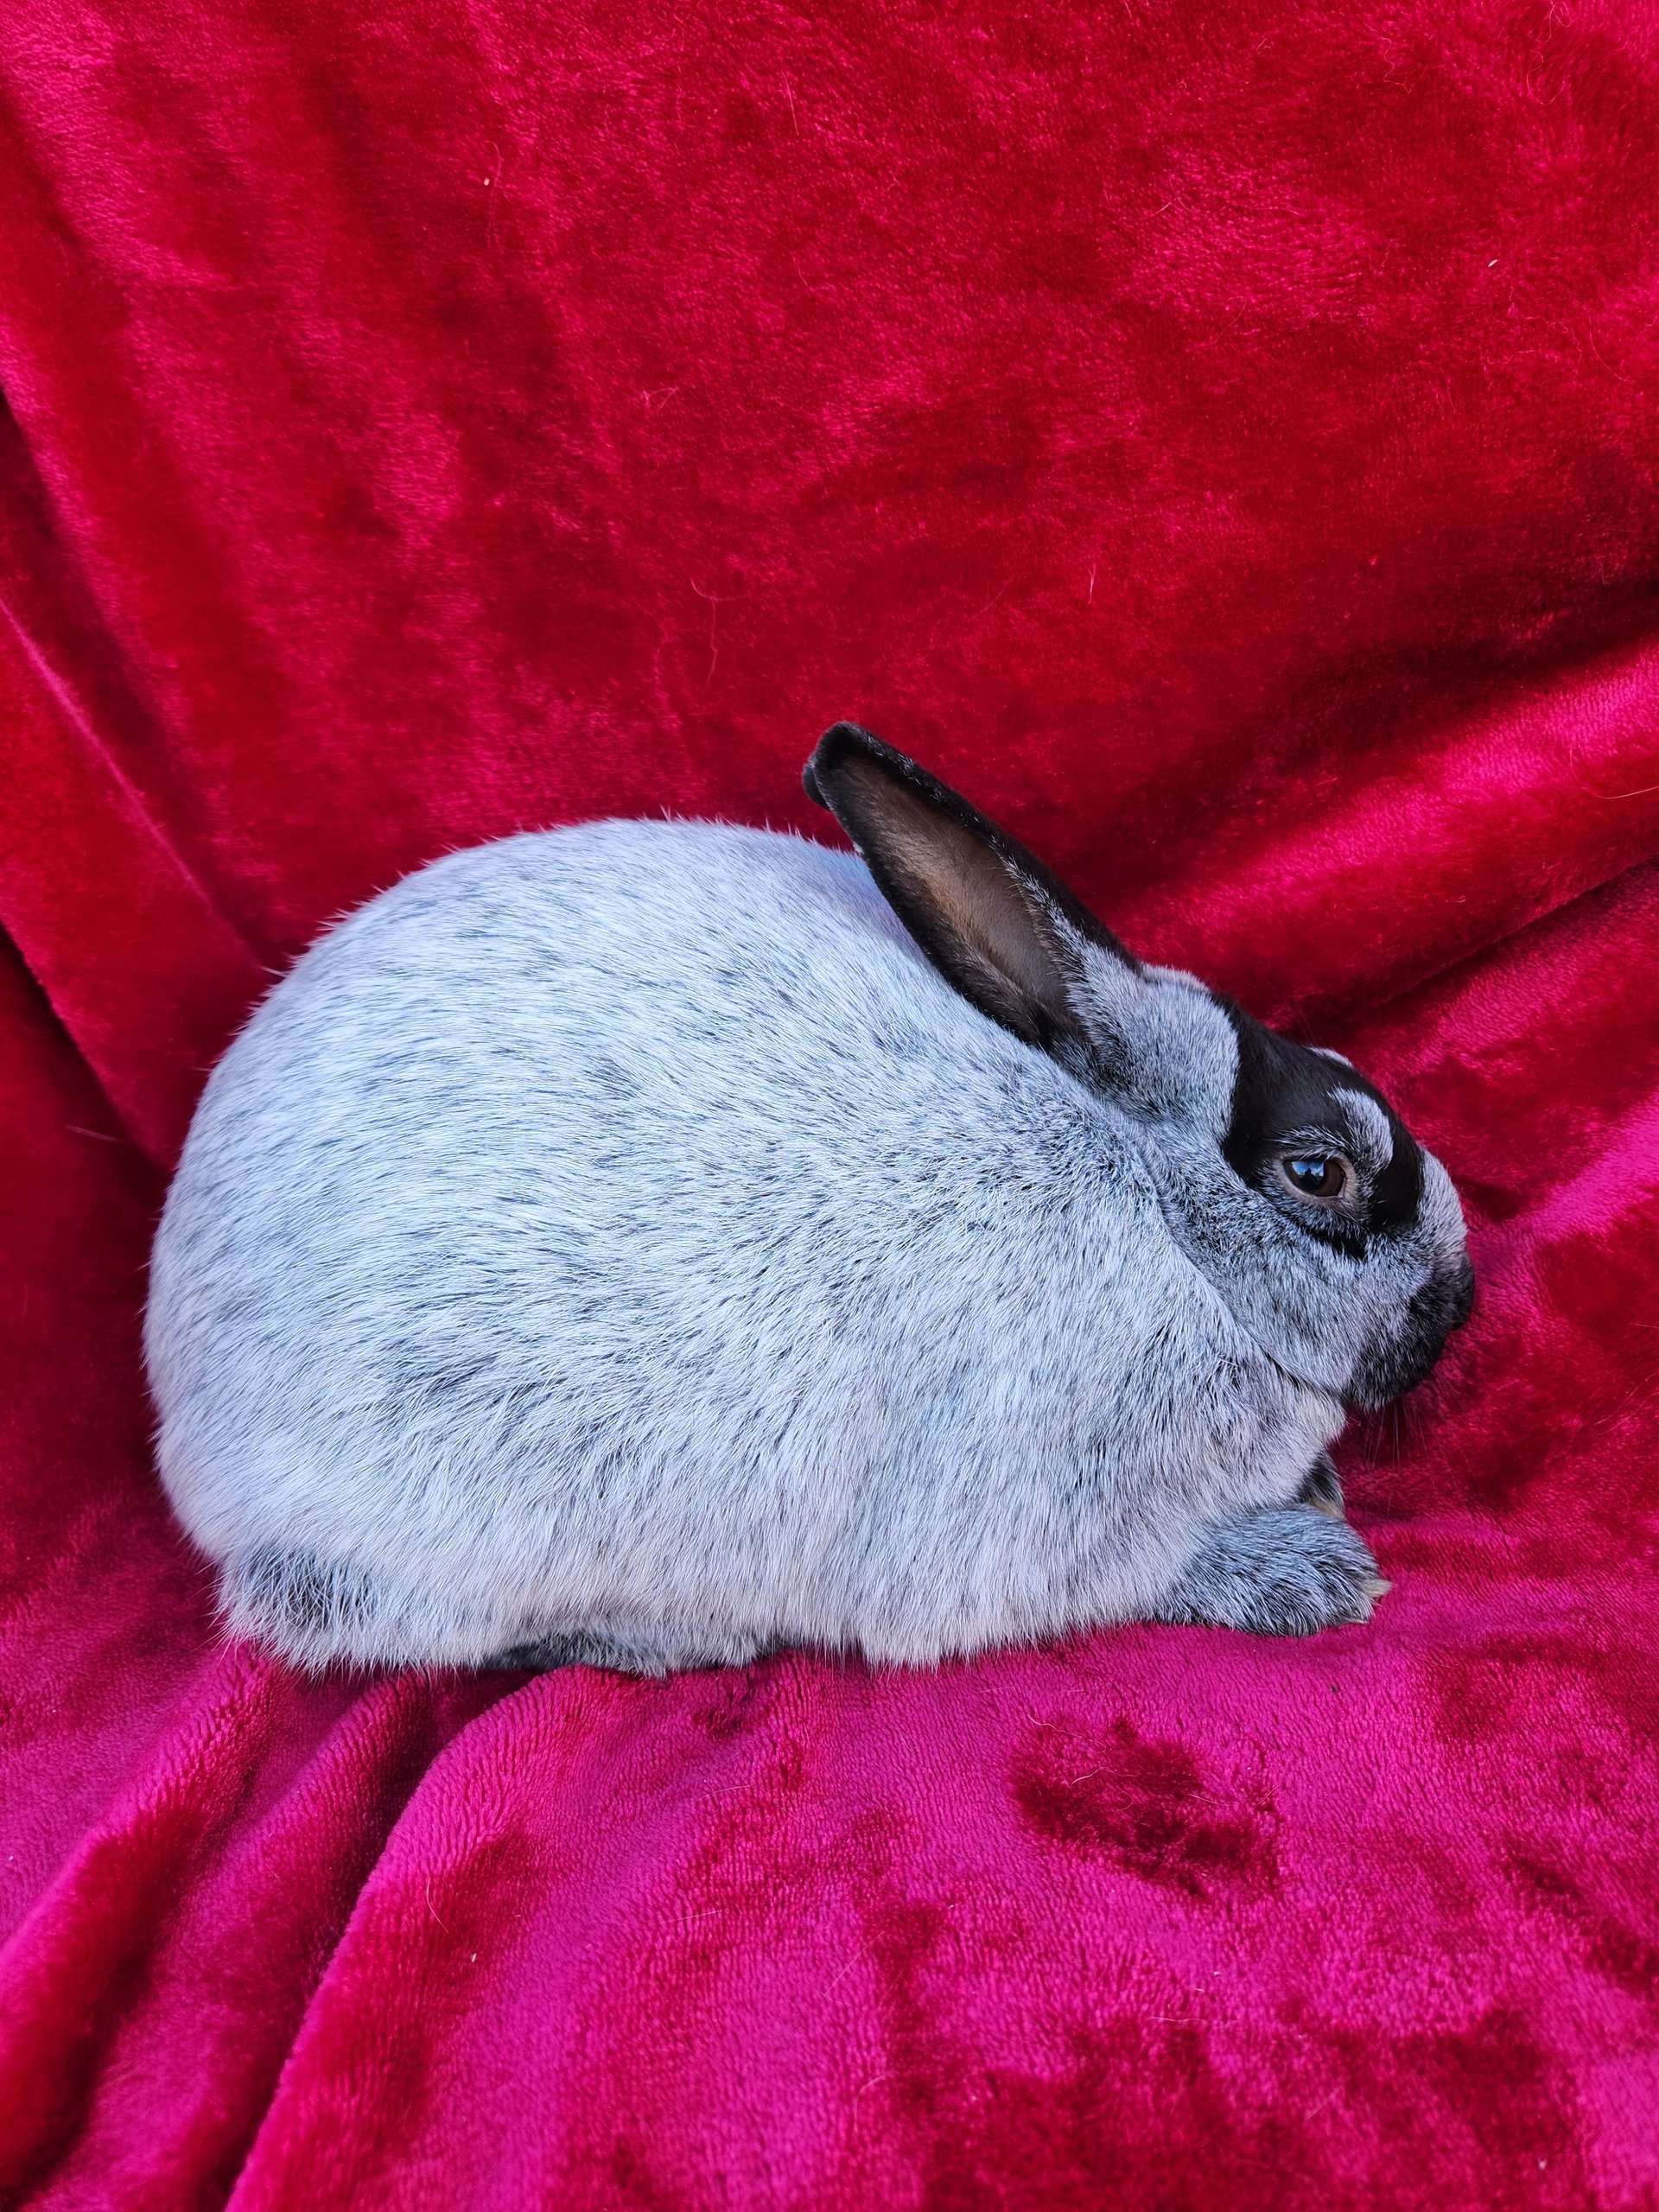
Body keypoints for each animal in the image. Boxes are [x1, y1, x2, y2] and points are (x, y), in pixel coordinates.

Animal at [145, 722, 1474, 1676]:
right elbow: (1138, 1574)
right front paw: (1314, 1570)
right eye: (1318, 1172)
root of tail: (180, 1391)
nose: (1462, 1298)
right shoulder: (1032, 1524)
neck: (1159, 1207)